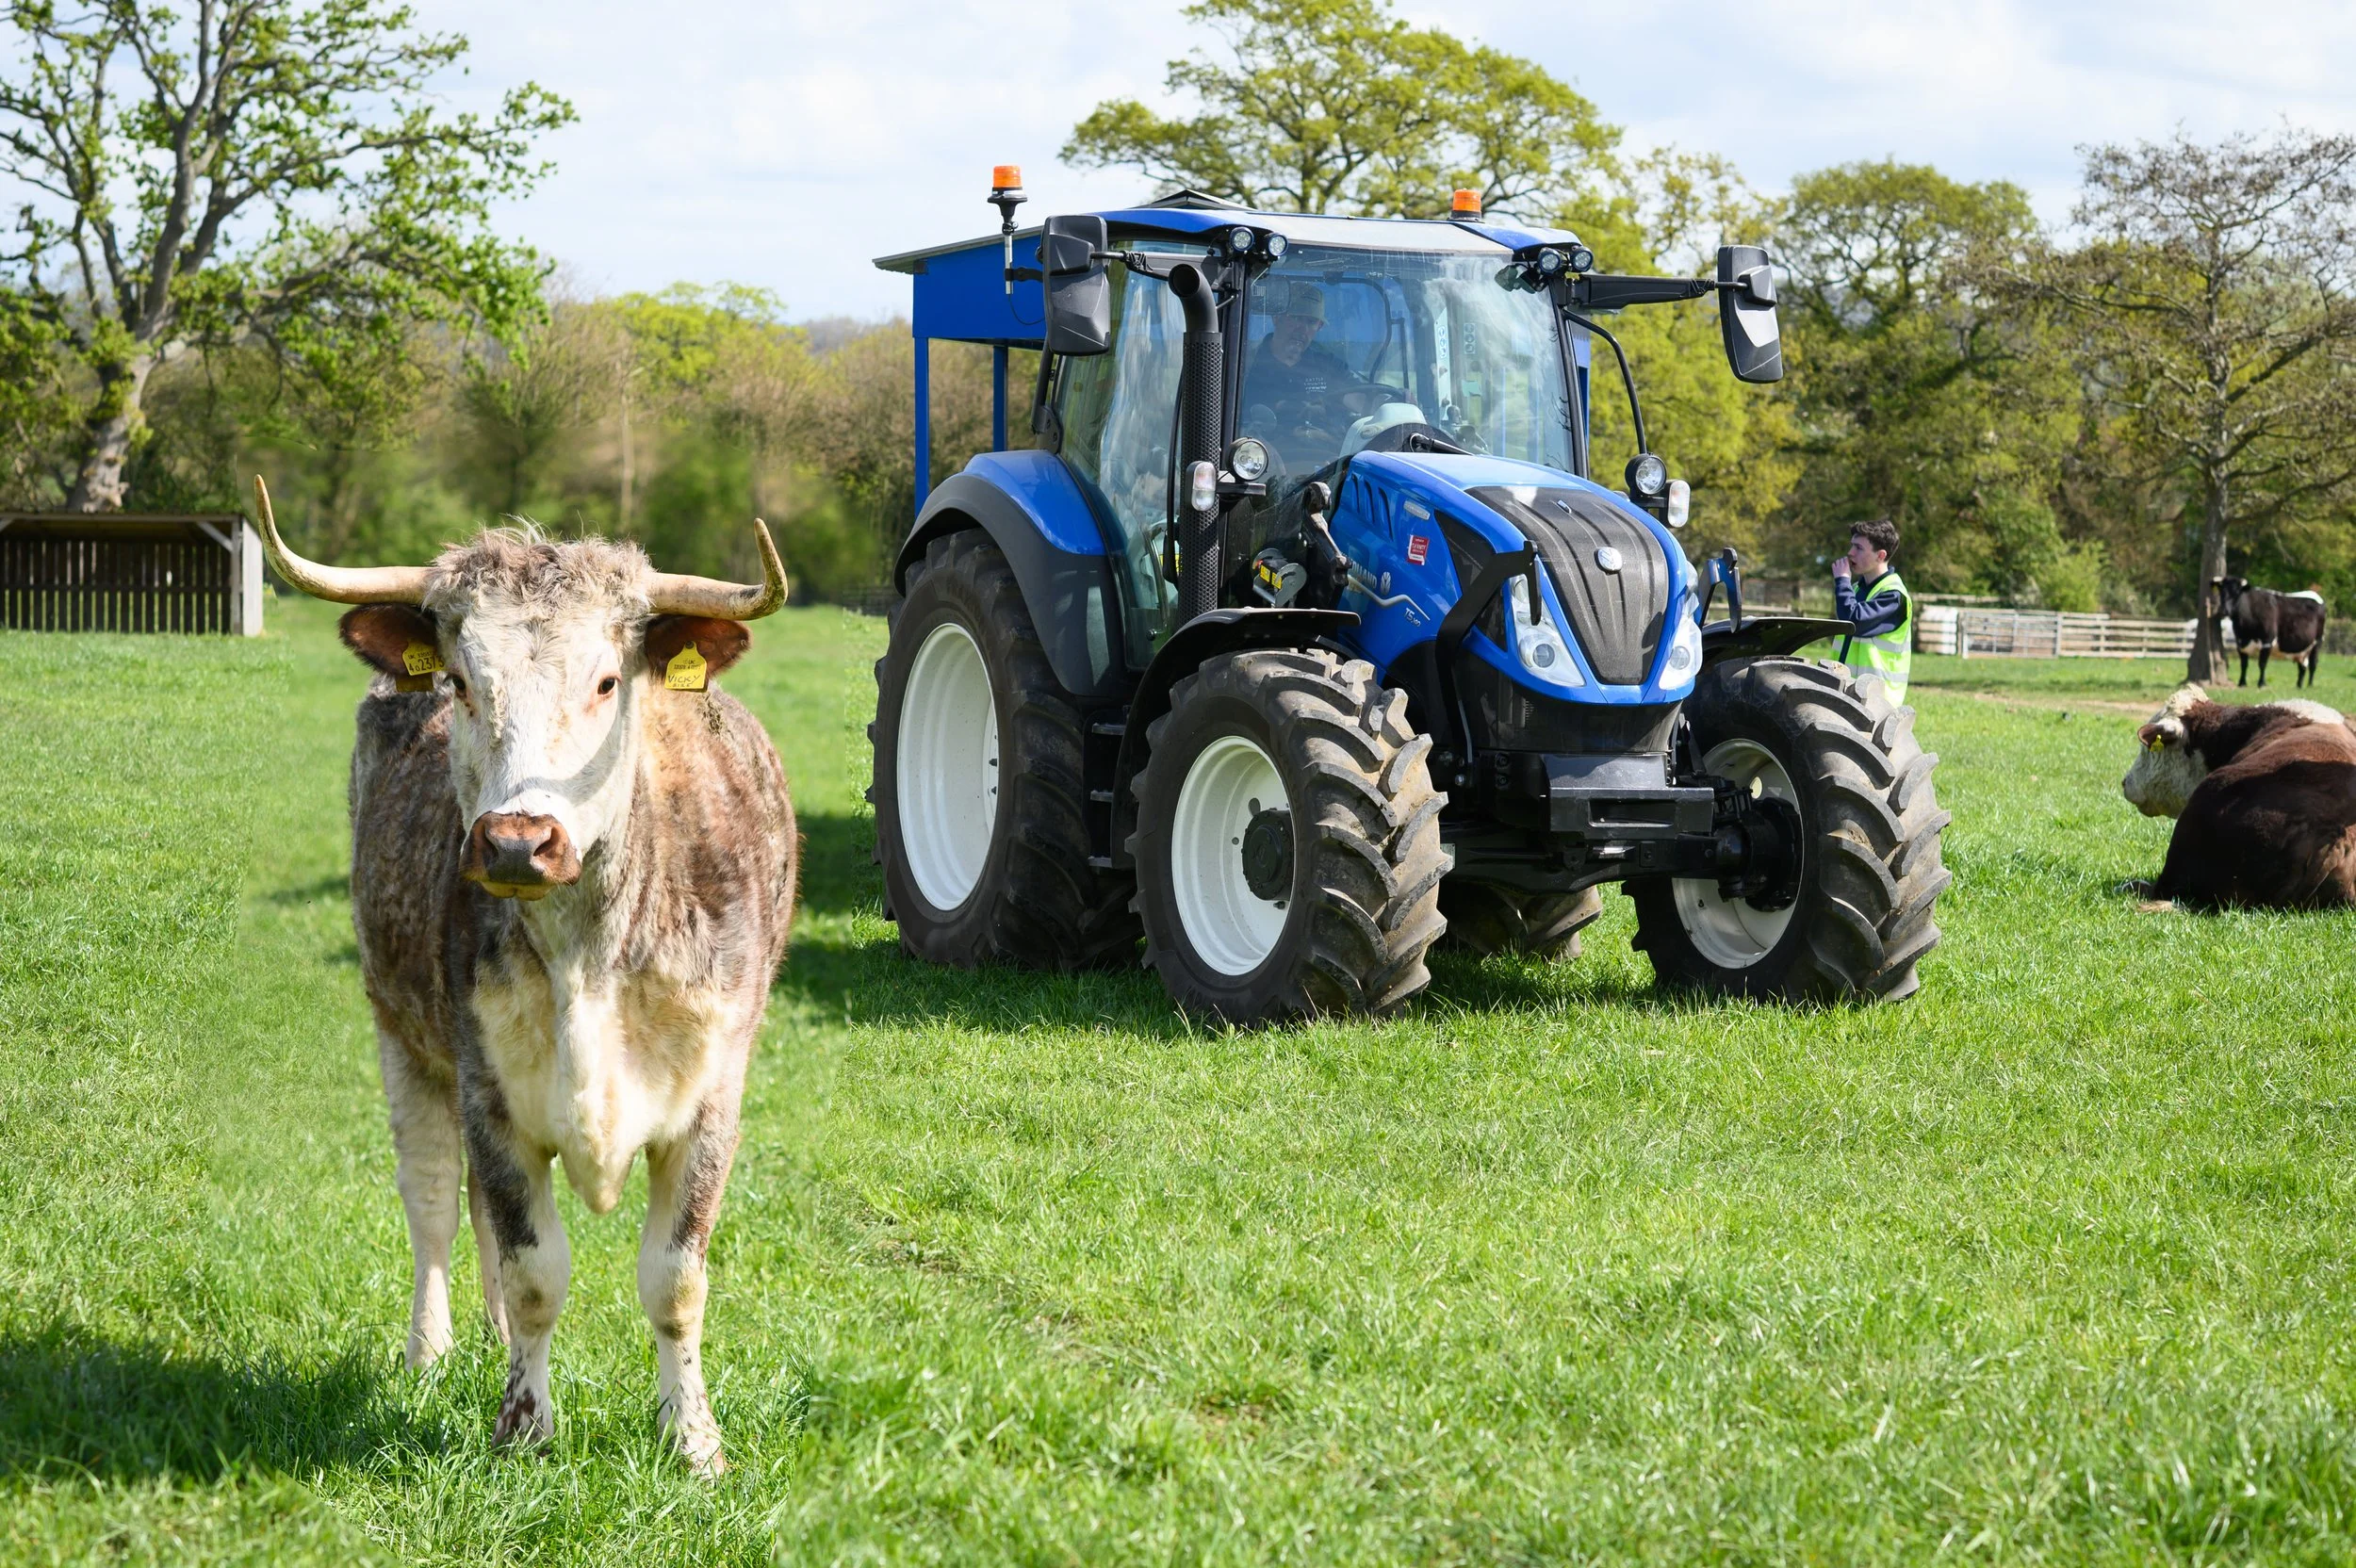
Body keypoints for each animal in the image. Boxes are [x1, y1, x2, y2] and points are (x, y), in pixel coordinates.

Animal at [252, 478, 797, 1477]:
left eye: (608, 680)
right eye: (464, 681)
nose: (514, 841)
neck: (590, 953)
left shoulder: (712, 1103)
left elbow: (674, 1280)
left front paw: (694, 1441)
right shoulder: (491, 1091)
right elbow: (535, 1267)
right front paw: (523, 1428)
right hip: (402, 1034)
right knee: (435, 1199)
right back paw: (430, 1355)